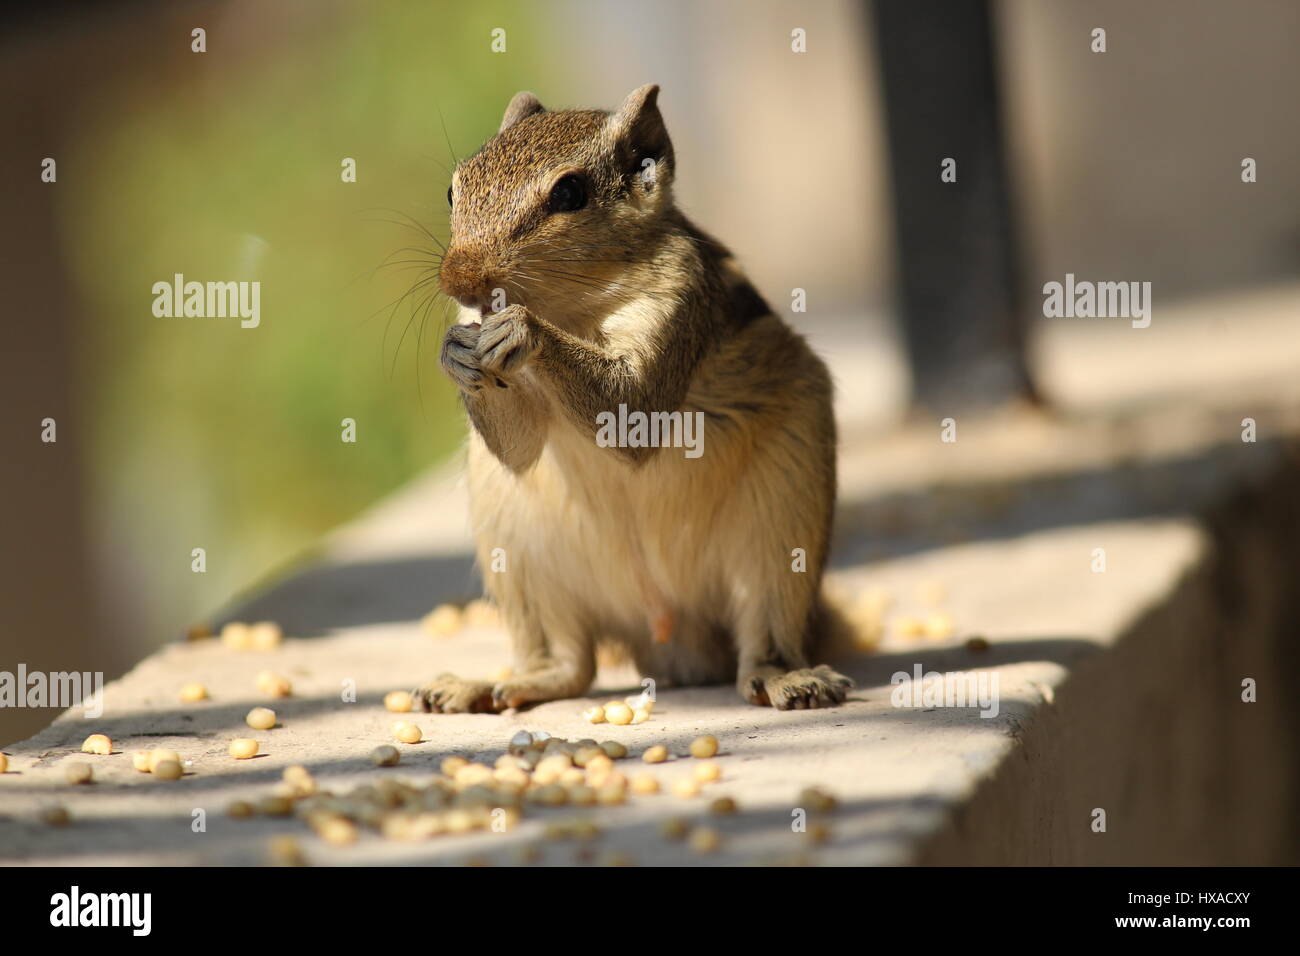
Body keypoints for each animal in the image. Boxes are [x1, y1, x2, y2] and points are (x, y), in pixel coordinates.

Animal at [417, 84, 853, 712]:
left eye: (569, 193)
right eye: (454, 189)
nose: (458, 280)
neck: (571, 309)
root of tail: (669, 629)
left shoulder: (679, 300)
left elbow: (632, 412)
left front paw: (524, 331)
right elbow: (520, 447)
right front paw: (455, 351)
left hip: (780, 528)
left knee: (761, 637)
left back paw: (791, 678)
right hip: (519, 554)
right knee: (569, 667)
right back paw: (486, 685)